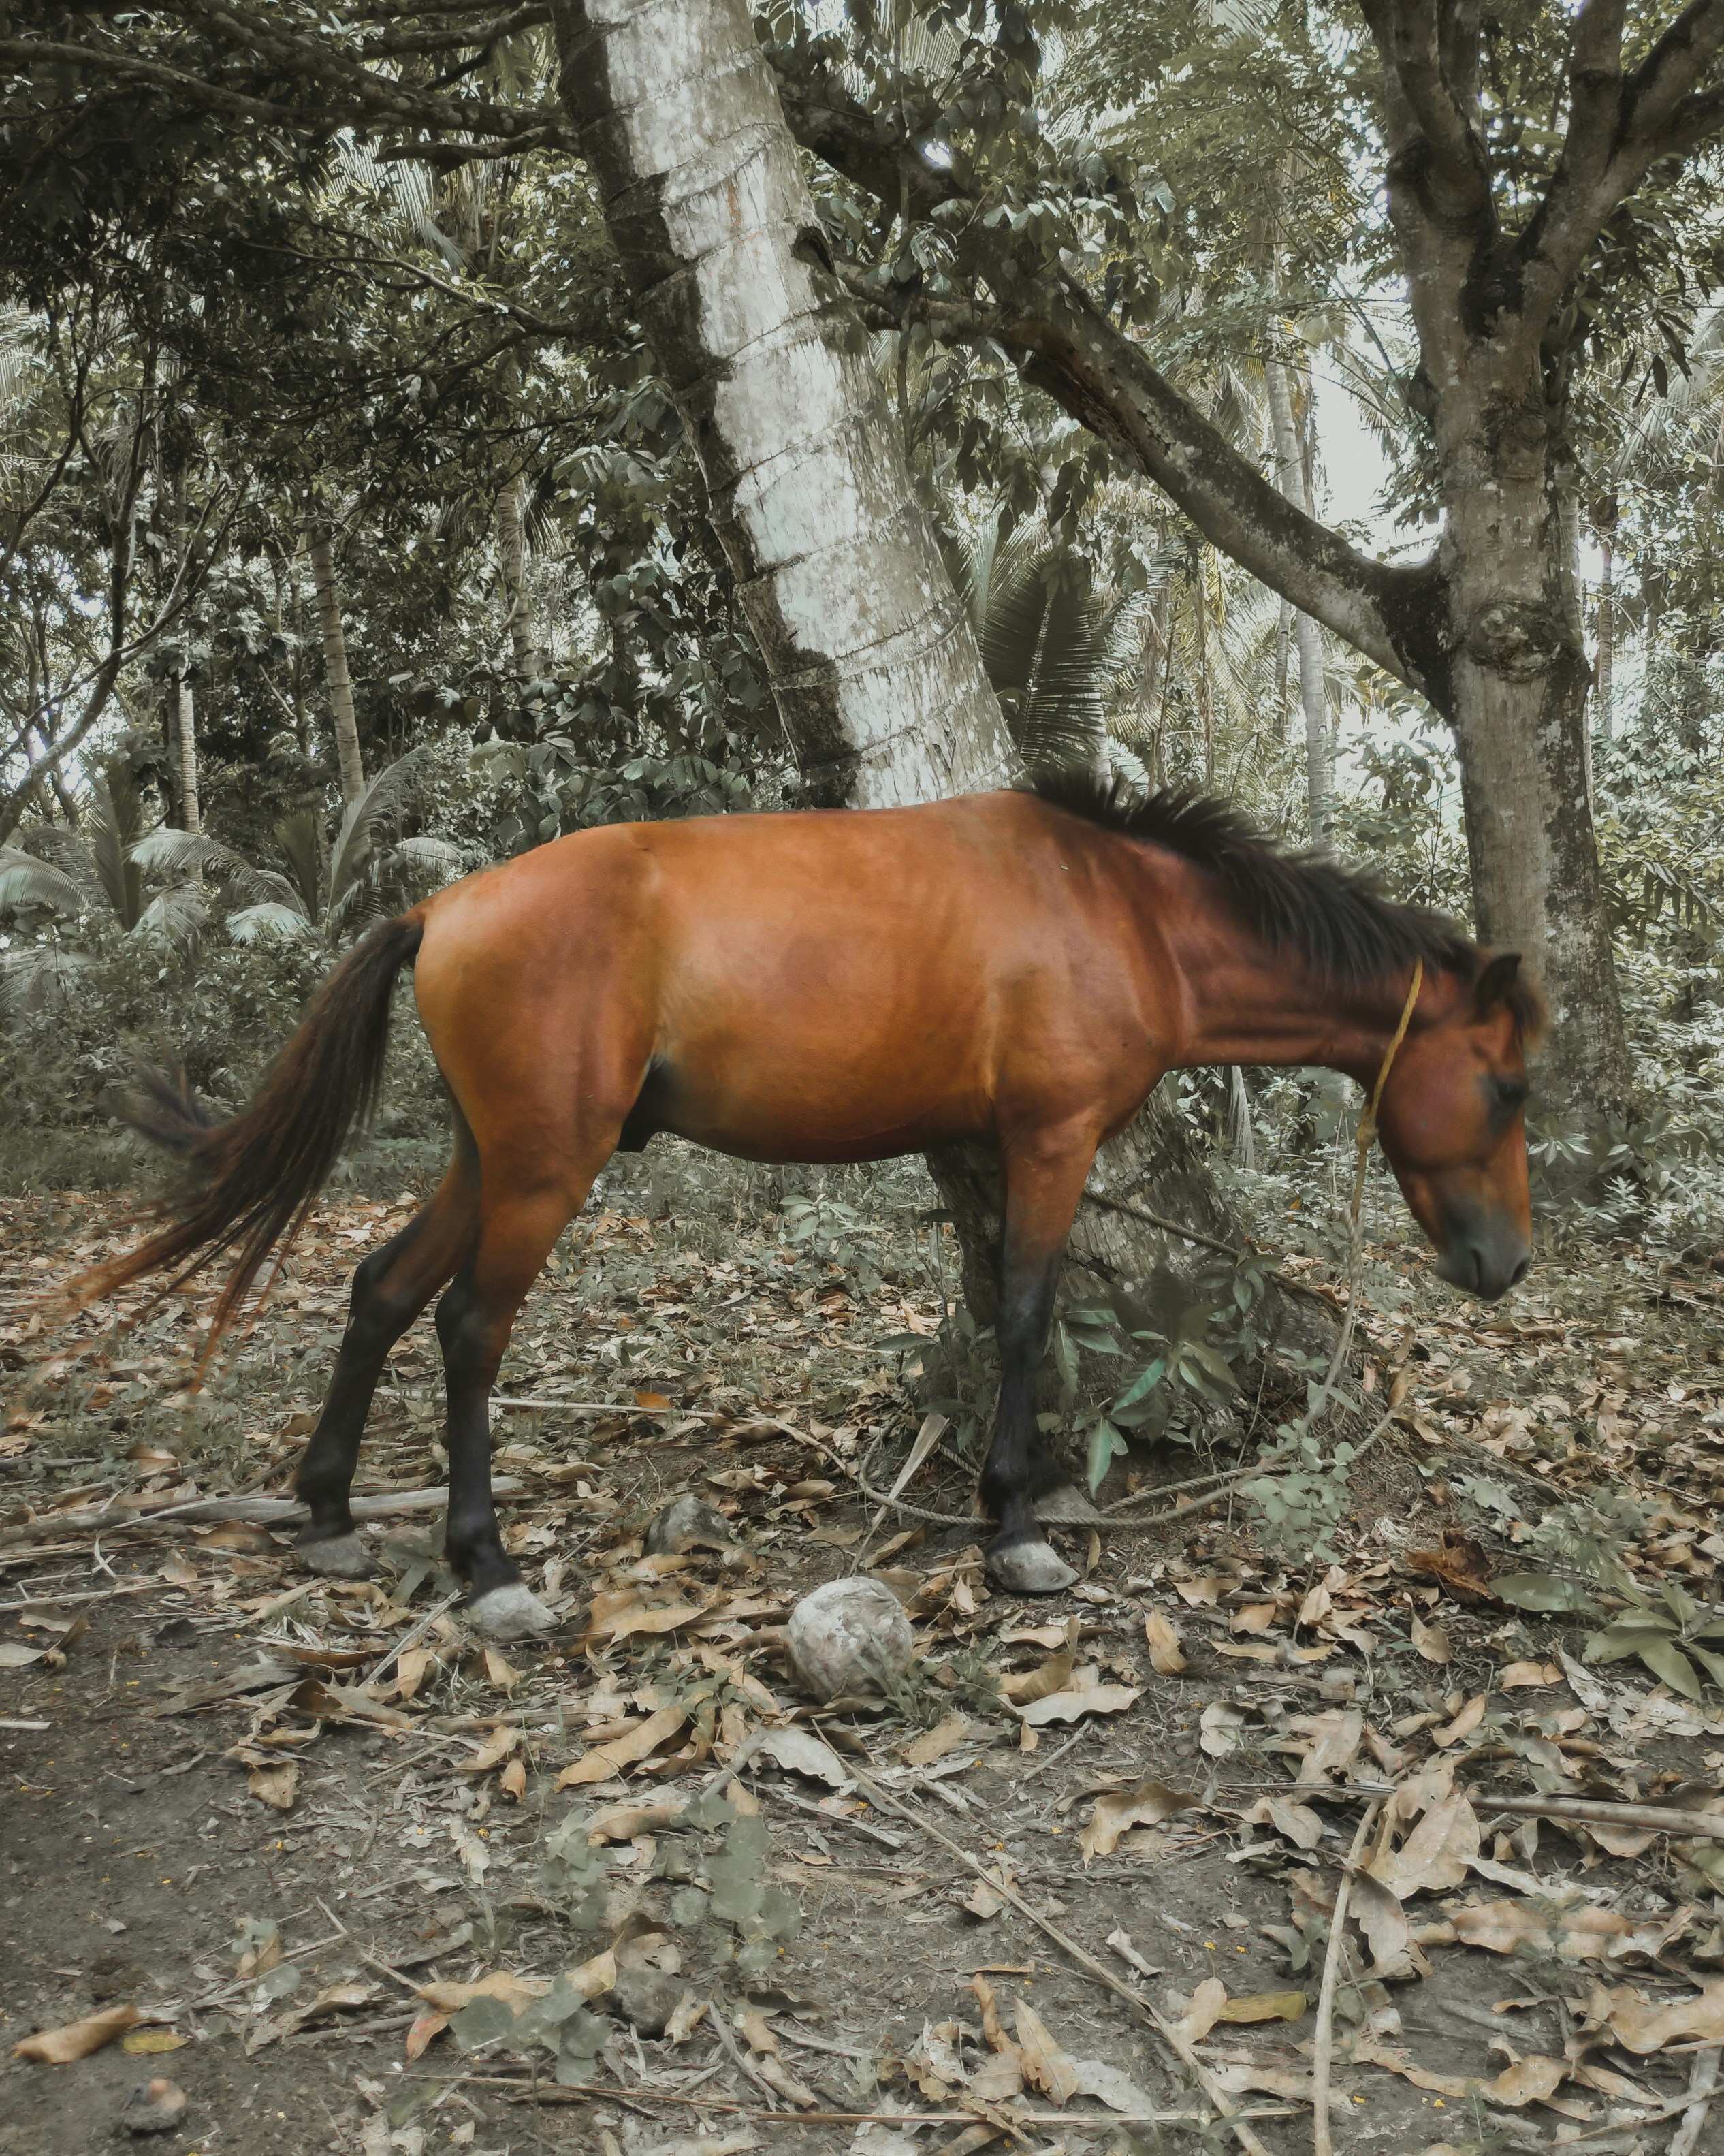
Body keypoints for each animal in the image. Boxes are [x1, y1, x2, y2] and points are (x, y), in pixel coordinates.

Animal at [75, 779, 1542, 1636]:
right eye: (1511, 1085)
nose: (1507, 1263)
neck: (1123, 910)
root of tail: (441, 907)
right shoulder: (1051, 1142)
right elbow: (1026, 1316)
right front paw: (1014, 1526)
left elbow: (1003, 1308)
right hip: (543, 1169)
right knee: (470, 1329)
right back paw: (485, 1565)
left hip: (485, 1158)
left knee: (380, 1288)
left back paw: (329, 1511)